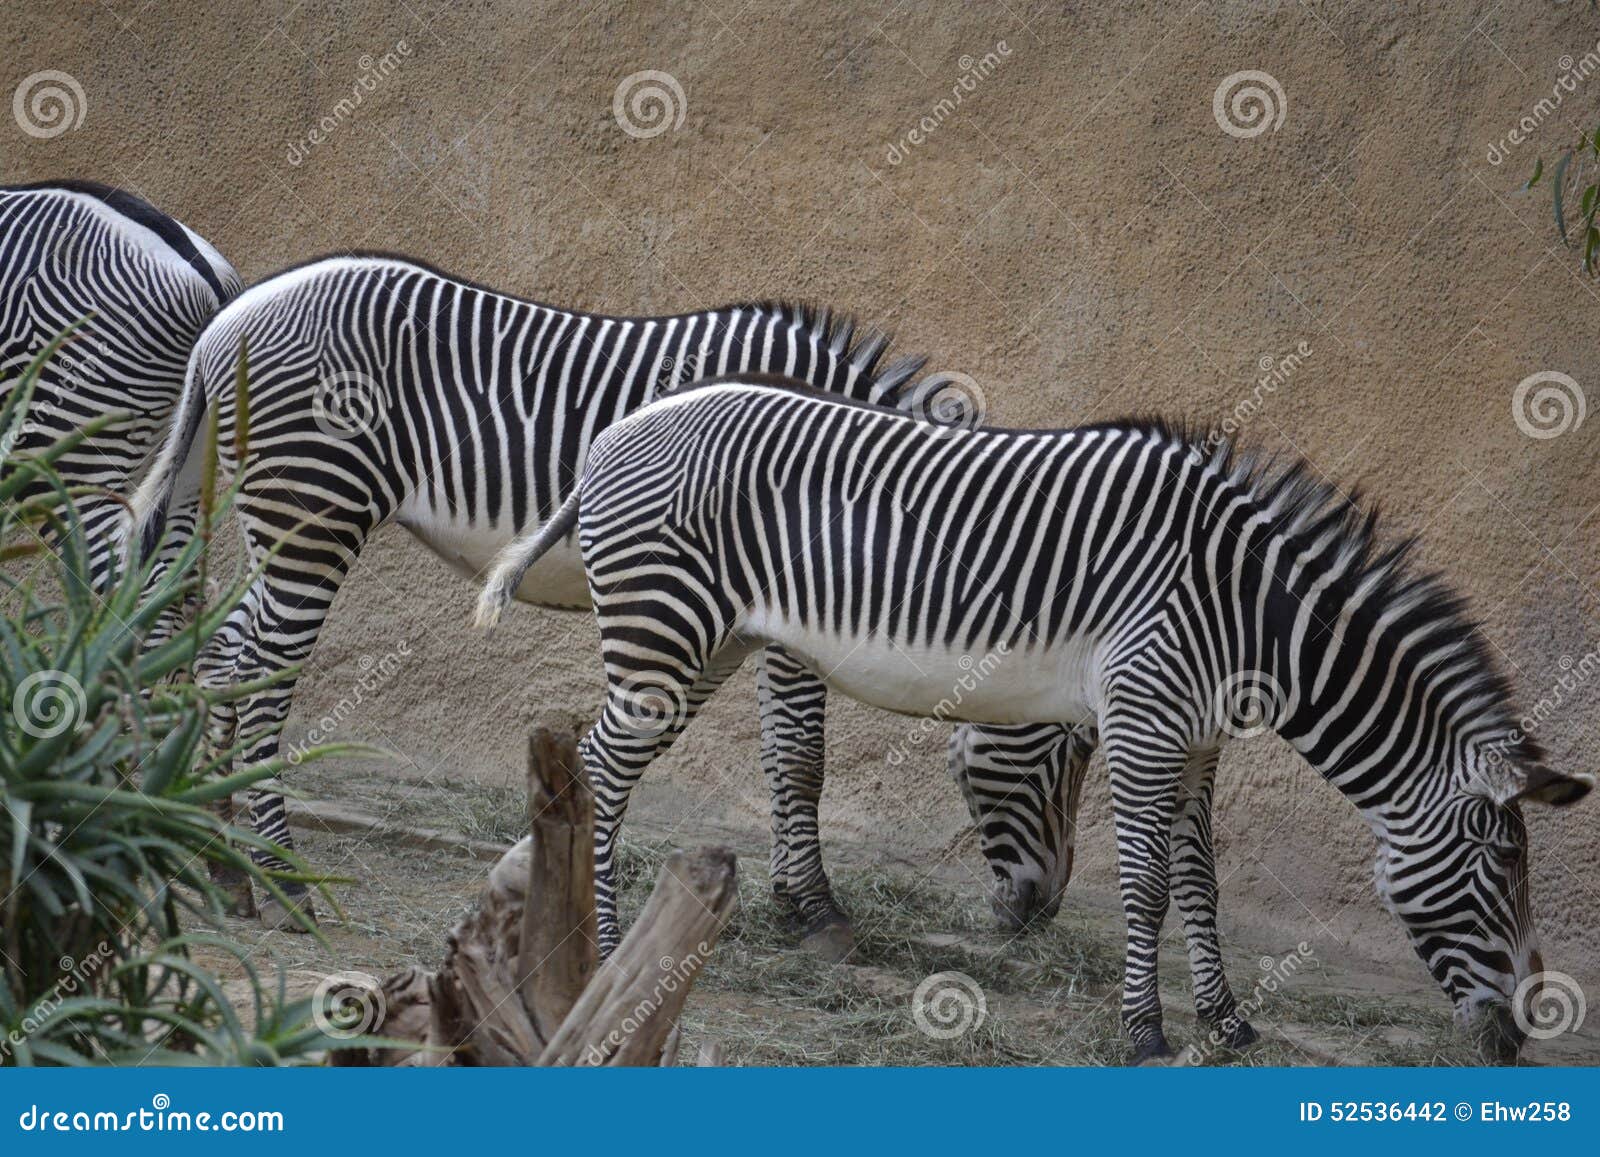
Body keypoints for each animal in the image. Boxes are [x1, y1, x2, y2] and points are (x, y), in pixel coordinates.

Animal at [126, 252, 961, 934]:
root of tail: (229, 315)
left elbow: (783, 747)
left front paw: (794, 898)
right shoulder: (787, 586)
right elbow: (800, 750)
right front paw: (817, 909)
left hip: (279, 522)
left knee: (222, 660)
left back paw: (225, 863)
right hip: (313, 508)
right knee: (263, 674)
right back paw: (283, 878)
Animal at [475, 377, 1592, 1063]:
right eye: (1503, 863)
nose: (1521, 1035)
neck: (1251, 609)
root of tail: (617, 432)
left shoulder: (1196, 738)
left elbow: (1201, 881)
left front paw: (1226, 1020)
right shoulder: (1145, 715)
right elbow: (1147, 885)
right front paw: (1145, 1032)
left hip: (707, 641)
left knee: (603, 762)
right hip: (665, 630)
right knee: (601, 766)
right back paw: (604, 948)